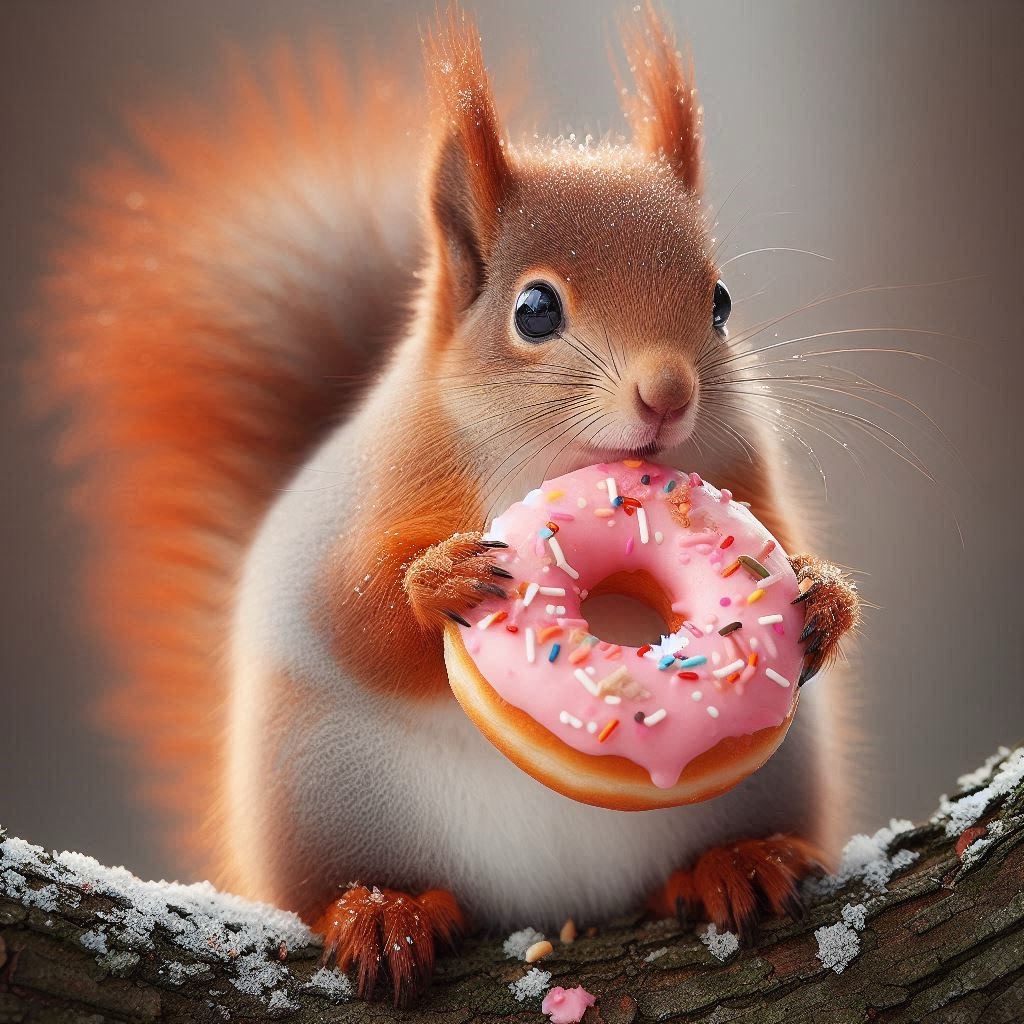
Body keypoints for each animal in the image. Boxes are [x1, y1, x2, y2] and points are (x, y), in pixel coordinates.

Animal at [37, 3, 860, 1006]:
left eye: (721, 301)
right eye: (535, 309)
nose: (668, 397)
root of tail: (554, 903)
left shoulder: (744, 464)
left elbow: (786, 543)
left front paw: (819, 596)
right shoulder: (371, 492)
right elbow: (350, 611)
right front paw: (444, 580)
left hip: (764, 780)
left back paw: (730, 863)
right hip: (324, 790)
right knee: (337, 882)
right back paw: (383, 911)